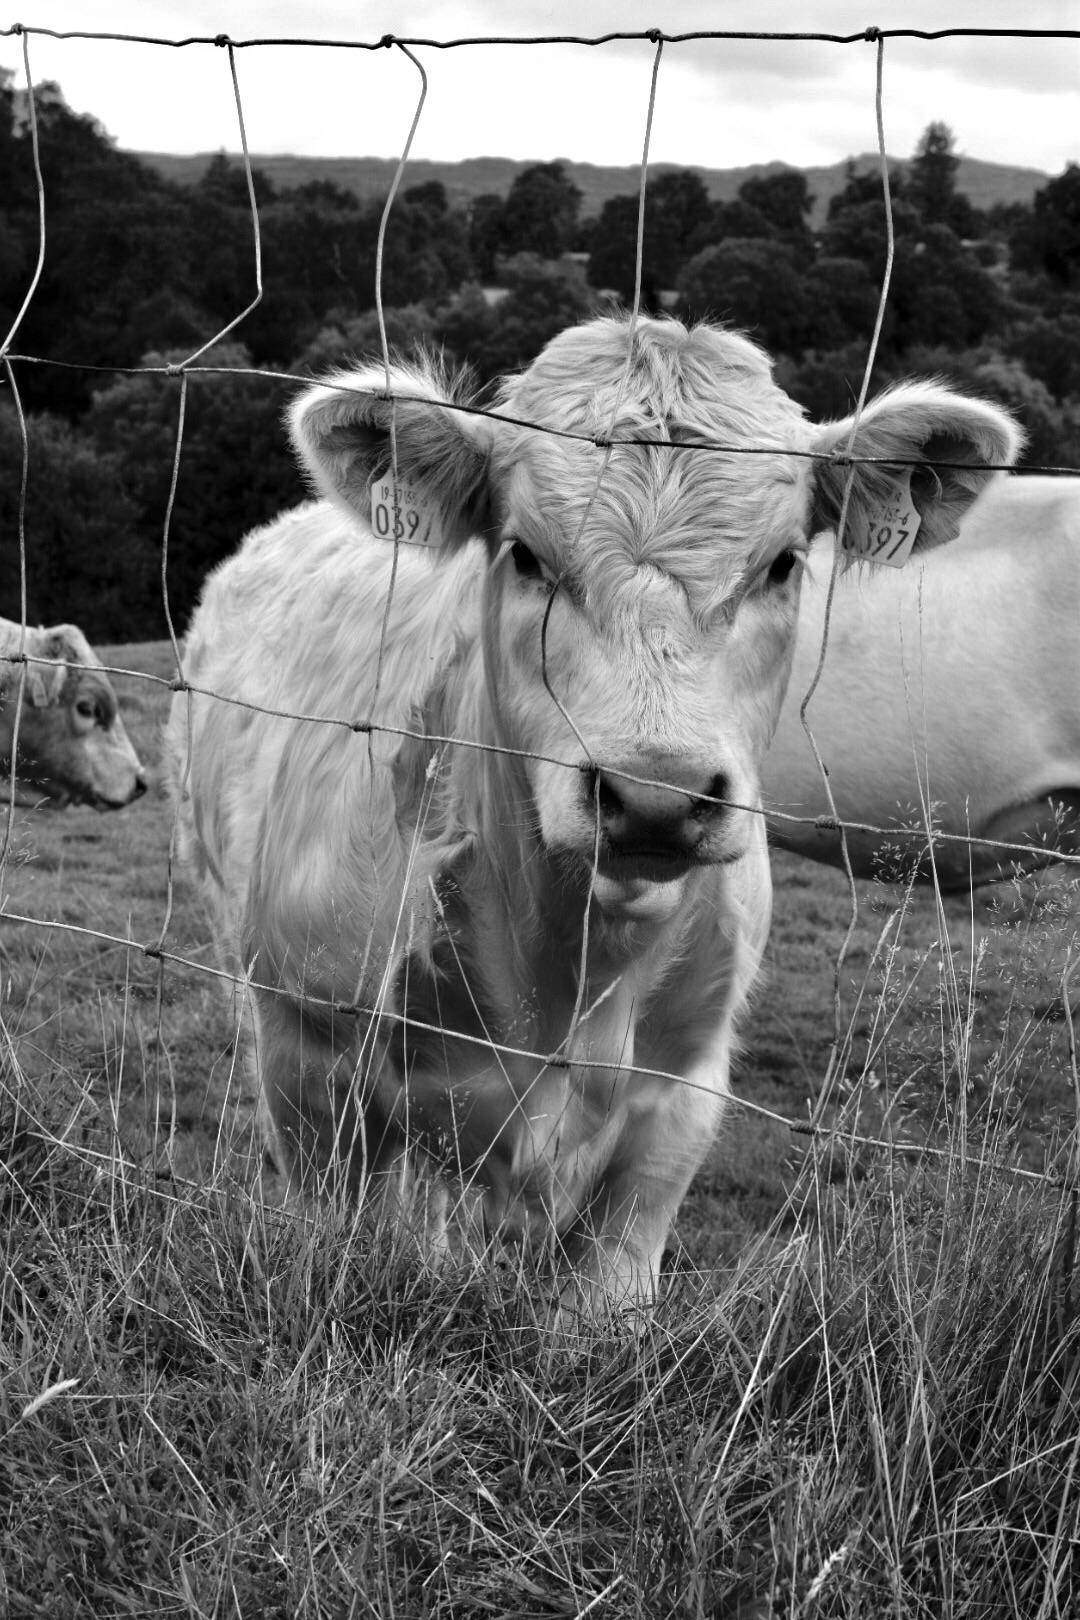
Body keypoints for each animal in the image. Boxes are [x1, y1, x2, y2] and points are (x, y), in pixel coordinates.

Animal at [165, 315, 1019, 1314]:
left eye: (781, 565)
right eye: (527, 555)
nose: (656, 798)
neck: (573, 965)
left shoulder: (674, 1115)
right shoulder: (307, 1062)